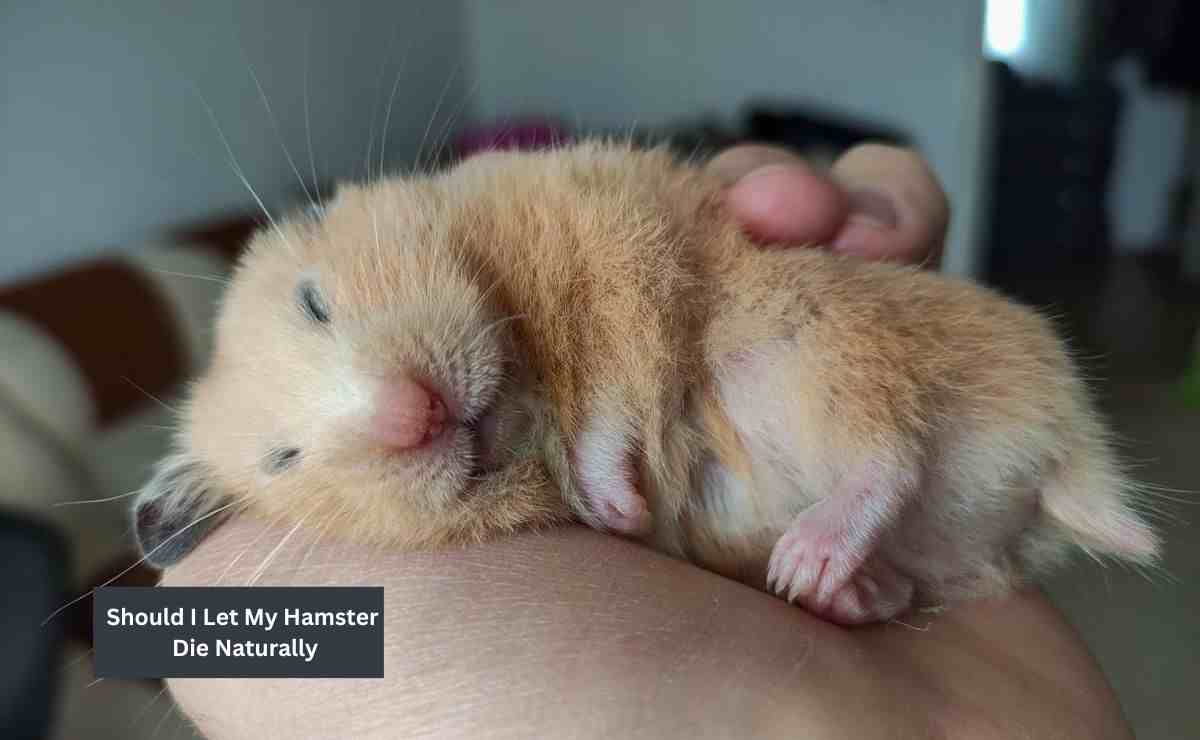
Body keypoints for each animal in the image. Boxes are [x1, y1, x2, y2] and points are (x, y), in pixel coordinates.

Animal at [134, 141, 1160, 625]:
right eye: (284, 459)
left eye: (315, 303)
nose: (416, 413)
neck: (525, 376)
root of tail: (1064, 460)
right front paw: (619, 512)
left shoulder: (623, 249)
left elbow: (616, 395)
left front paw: (615, 505)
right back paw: (841, 588)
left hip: (817, 343)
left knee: (892, 453)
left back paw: (811, 556)